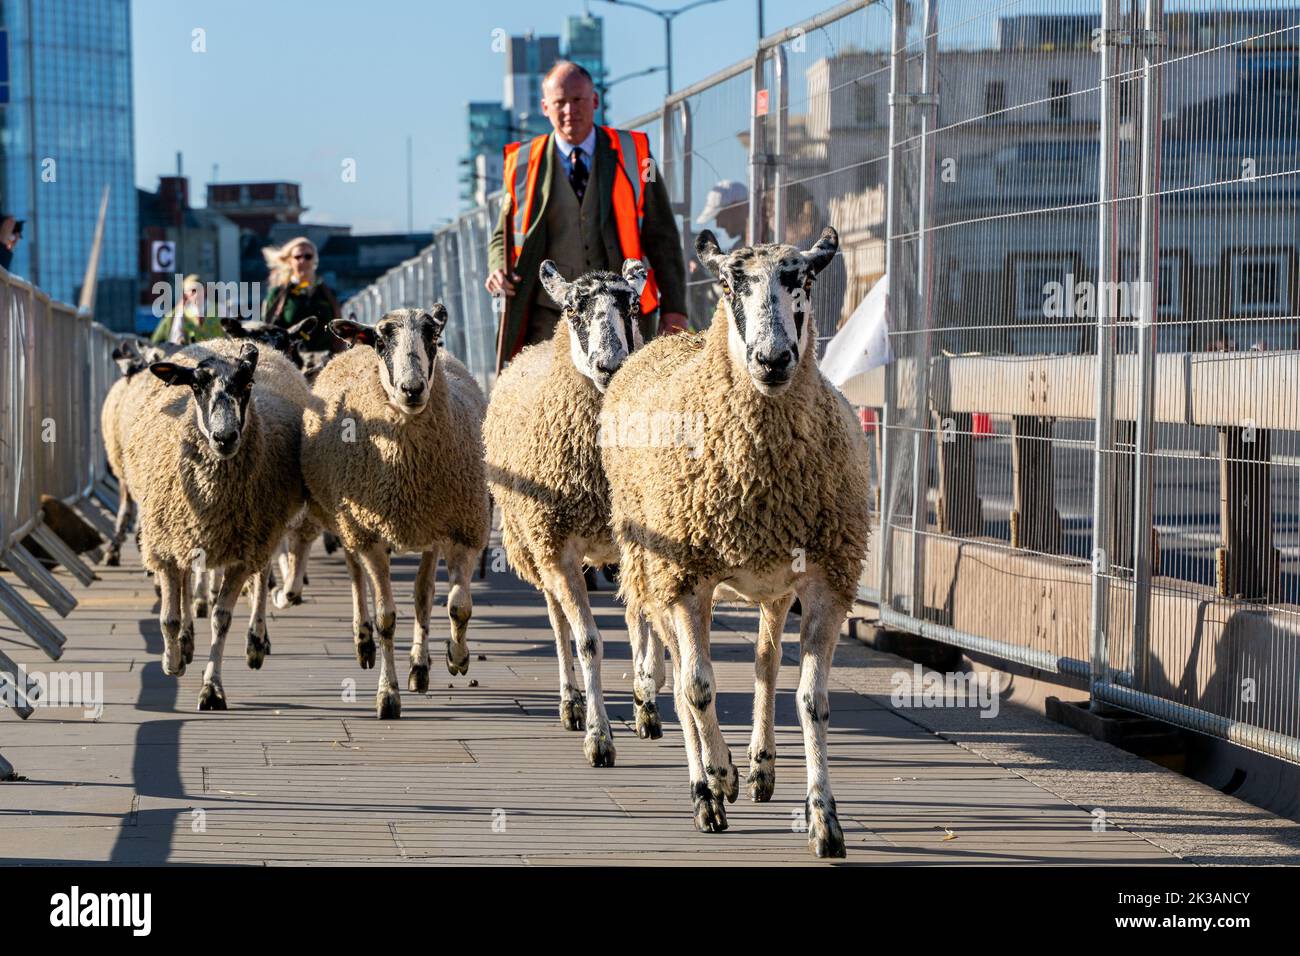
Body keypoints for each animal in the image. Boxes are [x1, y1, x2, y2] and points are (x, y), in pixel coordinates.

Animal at [122, 339, 310, 710]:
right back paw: (185, 642)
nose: (225, 437)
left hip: (260, 532)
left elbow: (221, 619)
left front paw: (212, 689)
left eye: (248, 384)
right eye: (196, 386)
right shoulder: (166, 545)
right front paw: (172, 662)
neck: (212, 497)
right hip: (188, 538)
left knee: (262, 575)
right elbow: (168, 617)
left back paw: (256, 642)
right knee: (186, 585)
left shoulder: (243, 550)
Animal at [301, 306, 491, 720]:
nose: (412, 389)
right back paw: (363, 642)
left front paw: (457, 658)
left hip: (429, 528)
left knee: (423, 595)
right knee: (357, 578)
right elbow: (386, 618)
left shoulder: (463, 526)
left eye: (433, 336)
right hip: (348, 521)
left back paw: (420, 666)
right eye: (381, 340)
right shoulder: (369, 534)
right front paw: (387, 696)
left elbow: (458, 606)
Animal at [484, 259, 665, 768]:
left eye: (632, 303)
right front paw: (599, 738)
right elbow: (588, 642)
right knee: (558, 621)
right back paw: (571, 704)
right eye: (572, 309)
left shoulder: (635, 543)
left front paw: (647, 698)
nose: (610, 365)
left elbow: (643, 628)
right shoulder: (557, 548)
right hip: (534, 544)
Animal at [600, 227, 871, 858]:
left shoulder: (826, 581)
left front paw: (824, 819)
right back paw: (713, 776)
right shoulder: (686, 579)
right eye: (728, 284)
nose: (772, 360)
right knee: (679, 678)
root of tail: (667, 343)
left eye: (805, 279)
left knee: (765, 665)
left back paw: (761, 766)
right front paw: (711, 789)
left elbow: (810, 700)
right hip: (652, 568)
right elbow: (698, 688)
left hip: (773, 587)